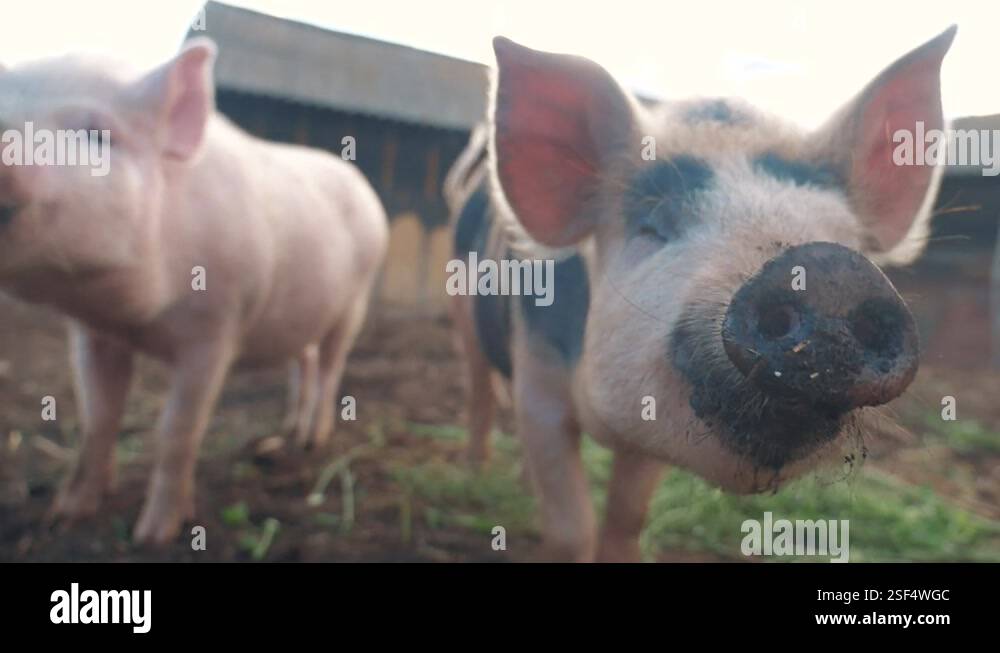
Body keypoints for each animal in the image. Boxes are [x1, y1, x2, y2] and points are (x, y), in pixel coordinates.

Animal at [0, 38, 388, 545]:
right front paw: (64, 516)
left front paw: (152, 537)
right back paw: (286, 431)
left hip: (356, 298)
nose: (4, 136)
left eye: (99, 135)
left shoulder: (216, 326)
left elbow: (177, 430)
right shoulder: (93, 332)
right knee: (303, 362)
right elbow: (97, 419)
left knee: (330, 367)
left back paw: (309, 442)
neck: (134, 316)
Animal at [445, 28, 956, 561]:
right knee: (479, 388)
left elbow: (627, 516)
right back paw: (475, 472)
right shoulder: (537, 382)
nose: (829, 271)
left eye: (845, 236)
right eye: (653, 225)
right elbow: (570, 527)